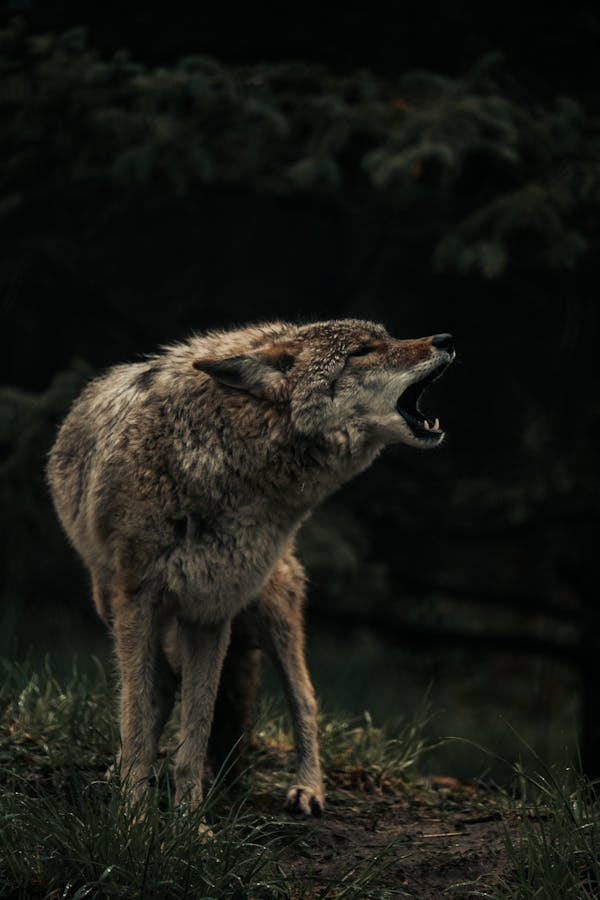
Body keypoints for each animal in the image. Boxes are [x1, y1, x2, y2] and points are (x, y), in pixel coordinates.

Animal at [47, 319, 454, 816]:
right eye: (360, 352)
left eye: (388, 338)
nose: (446, 340)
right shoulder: (140, 603)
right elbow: (142, 712)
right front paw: (136, 817)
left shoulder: (212, 610)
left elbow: (197, 728)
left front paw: (189, 822)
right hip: (112, 604)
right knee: (158, 690)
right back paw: (124, 771)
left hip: (273, 614)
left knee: (305, 698)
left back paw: (308, 788)